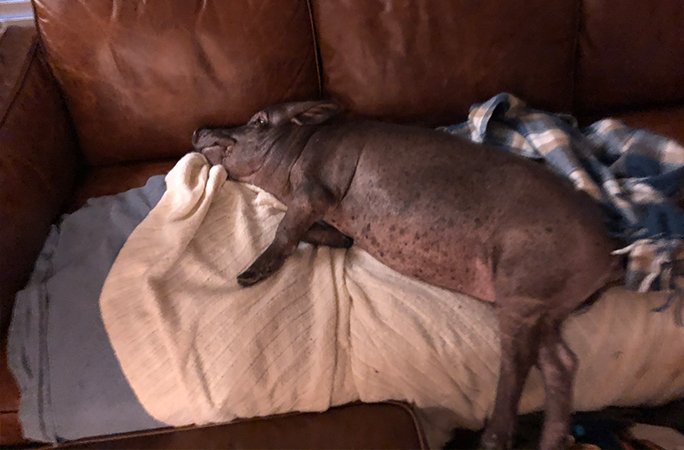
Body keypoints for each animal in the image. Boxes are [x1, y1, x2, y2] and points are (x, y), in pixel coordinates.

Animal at [192, 100, 619, 450]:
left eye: (258, 121)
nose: (198, 129)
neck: (299, 151)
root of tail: (608, 254)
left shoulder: (315, 190)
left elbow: (284, 230)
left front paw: (245, 278)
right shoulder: (327, 217)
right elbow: (331, 238)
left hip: (521, 290)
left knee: (518, 366)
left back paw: (492, 442)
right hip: (544, 308)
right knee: (562, 363)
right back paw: (552, 441)